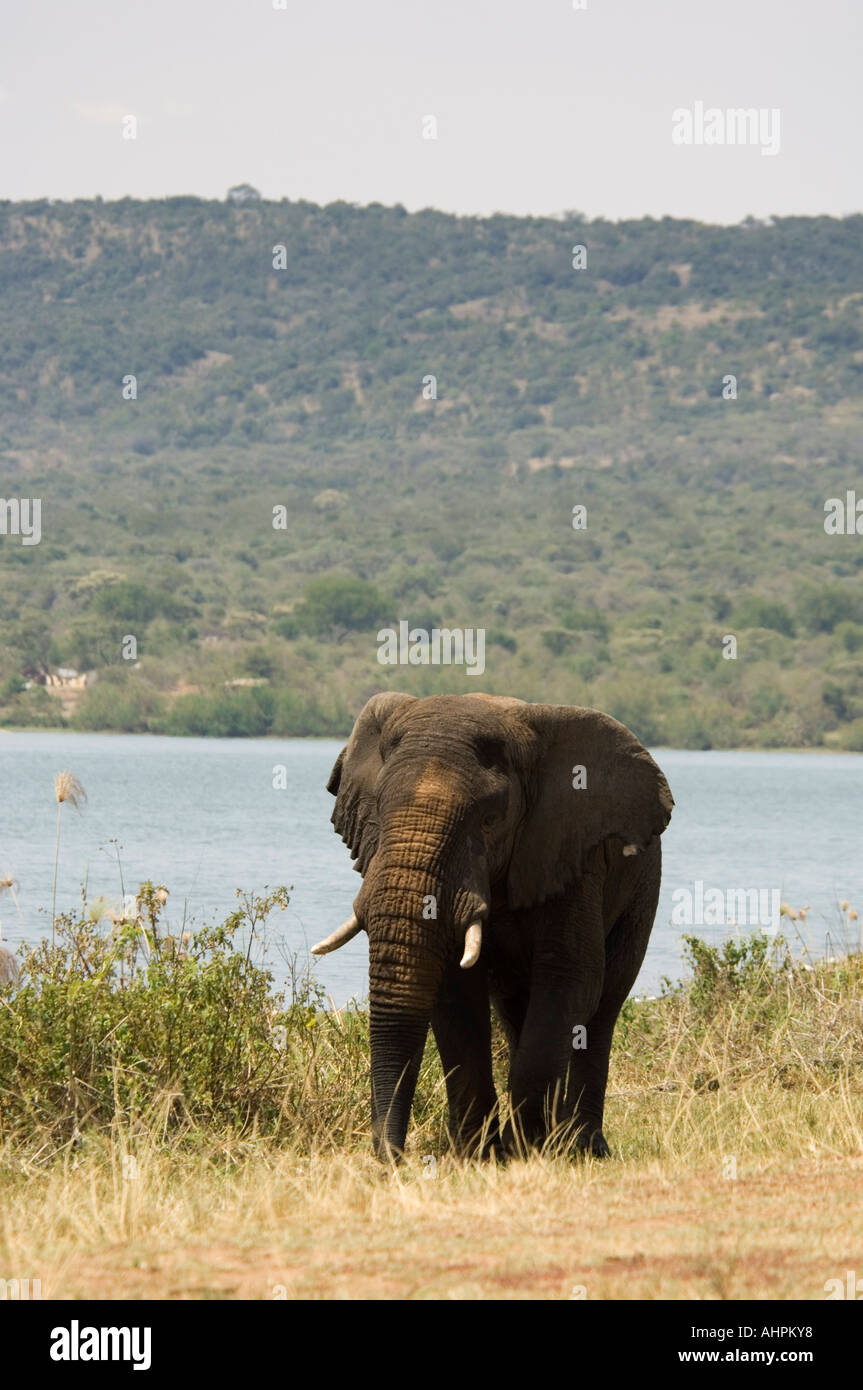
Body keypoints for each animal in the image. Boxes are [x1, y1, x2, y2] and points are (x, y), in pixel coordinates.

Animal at [313, 691, 673, 1162]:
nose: (393, 1158)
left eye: (490, 821)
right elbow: (455, 997)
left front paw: (531, 1150)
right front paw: (483, 1156)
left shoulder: (573, 859)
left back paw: (583, 1147)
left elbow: (571, 981)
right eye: (378, 814)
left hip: (643, 888)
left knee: (602, 1008)